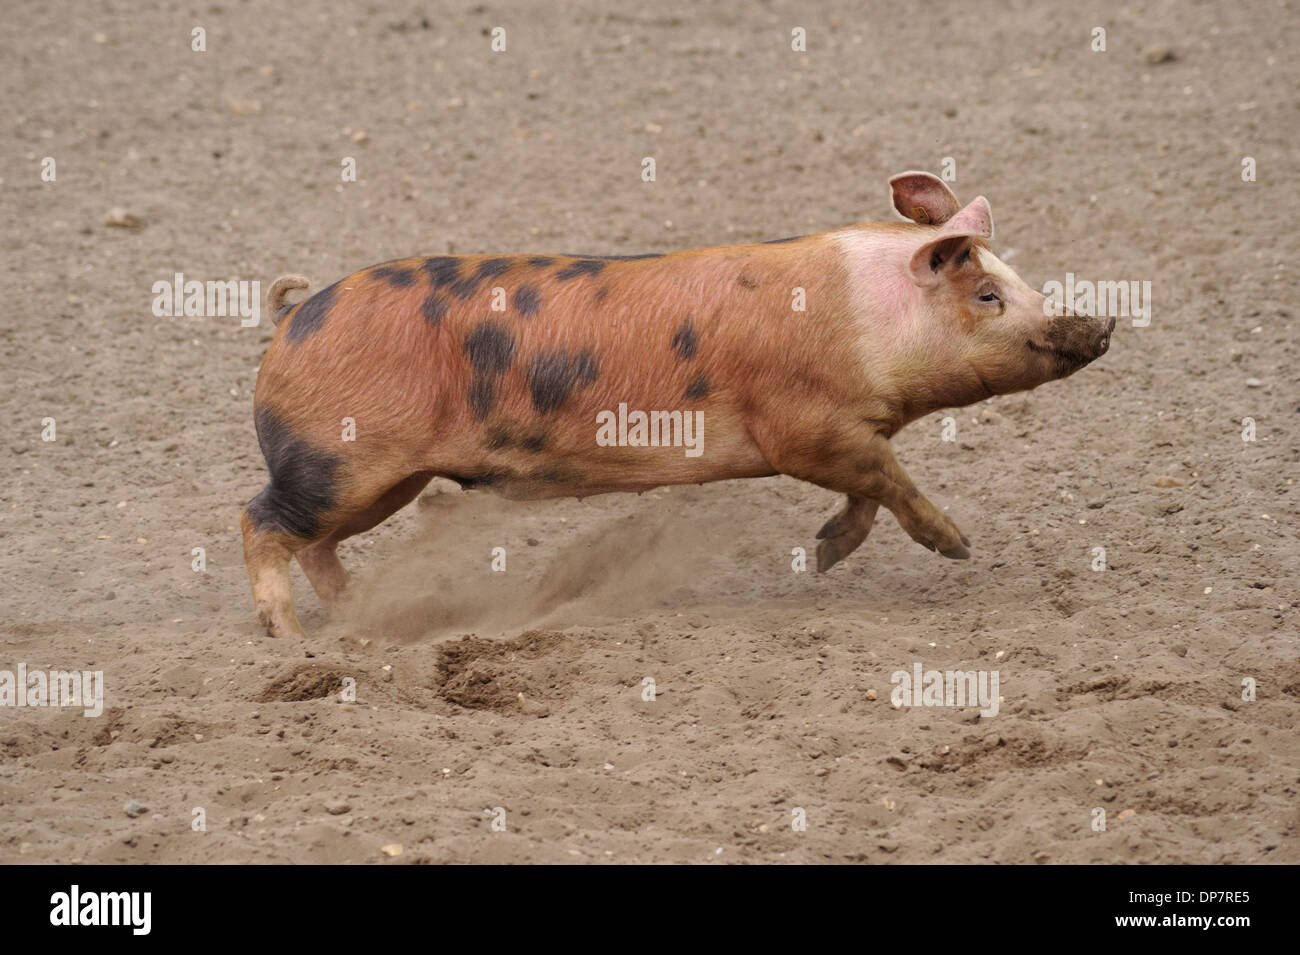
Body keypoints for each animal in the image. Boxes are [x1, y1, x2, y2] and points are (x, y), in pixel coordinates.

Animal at [242, 171, 1113, 638]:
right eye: (989, 294)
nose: (1101, 323)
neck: (864, 321)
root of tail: (293, 315)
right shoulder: (805, 428)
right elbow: (890, 480)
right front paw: (959, 547)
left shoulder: (840, 435)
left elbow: (869, 490)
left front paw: (825, 554)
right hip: (336, 460)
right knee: (259, 522)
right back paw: (293, 639)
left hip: (385, 480)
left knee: (316, 545)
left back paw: (360, 617)